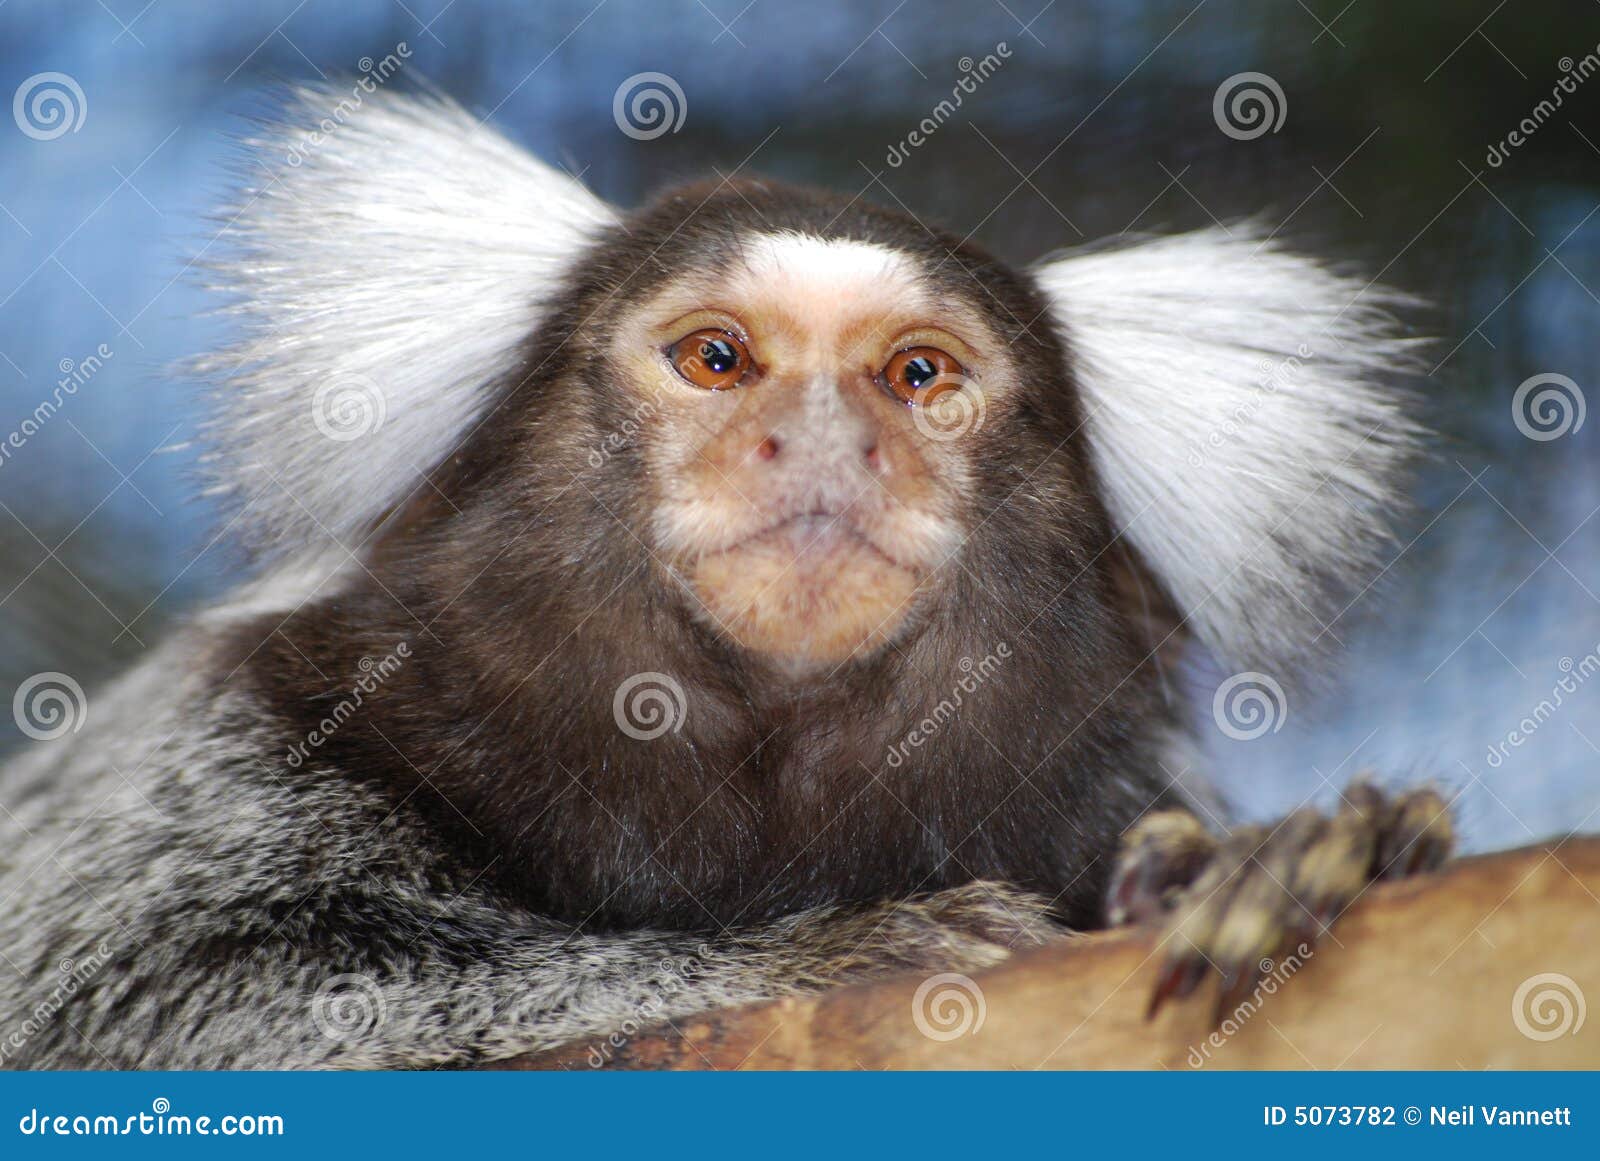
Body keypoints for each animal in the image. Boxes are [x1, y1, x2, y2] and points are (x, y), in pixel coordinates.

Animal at [0, 87, 1452, 1069]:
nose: (817, 442)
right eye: (715, 359)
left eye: (916, 375)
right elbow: (193, 1000)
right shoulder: (250, 731)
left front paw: (1304, 860)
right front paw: (838, 951)